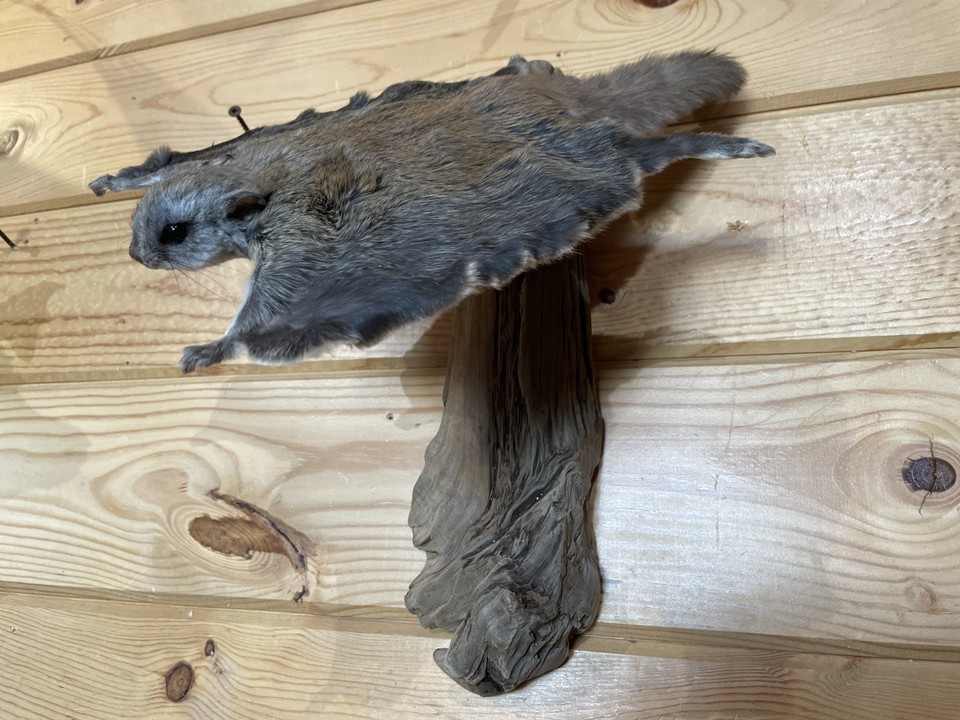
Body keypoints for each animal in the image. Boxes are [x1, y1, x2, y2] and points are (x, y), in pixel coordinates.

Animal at [89, 52, 774, 373]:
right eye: (144, 225)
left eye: (173, 233)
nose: (135, 253)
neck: (264, 186)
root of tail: (567, 104)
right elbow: (160, 166)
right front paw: (115, 178)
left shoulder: (301, 257)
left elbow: (255, 325)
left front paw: (209, 349)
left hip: (603, 163)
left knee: (652, 152)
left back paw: (729, 145)